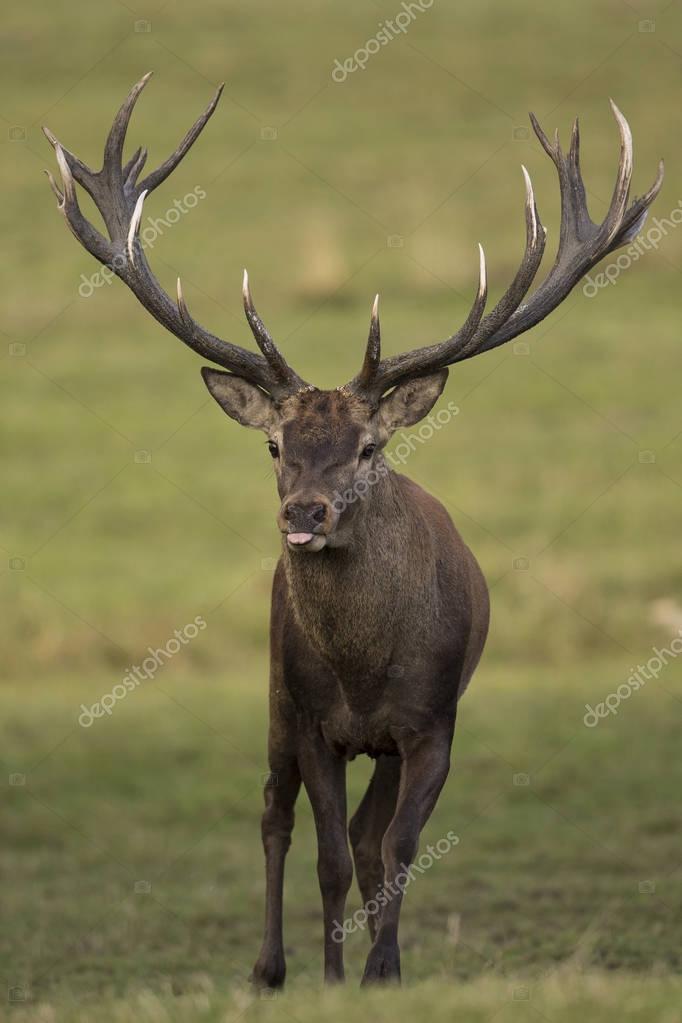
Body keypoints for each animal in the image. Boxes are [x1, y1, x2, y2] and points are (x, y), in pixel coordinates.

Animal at [44, 74, 663, 987]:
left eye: (370, 446)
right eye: (275, 443)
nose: (305, 512)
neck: (365, 670)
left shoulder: (431, 723)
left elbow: (397, 848)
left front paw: (384, 971)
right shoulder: (312, 720)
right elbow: (329, 853)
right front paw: (333, 978)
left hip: (388, 741)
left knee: (370, 837)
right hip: (275, 692)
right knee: (274, 811)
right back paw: (271, 968)